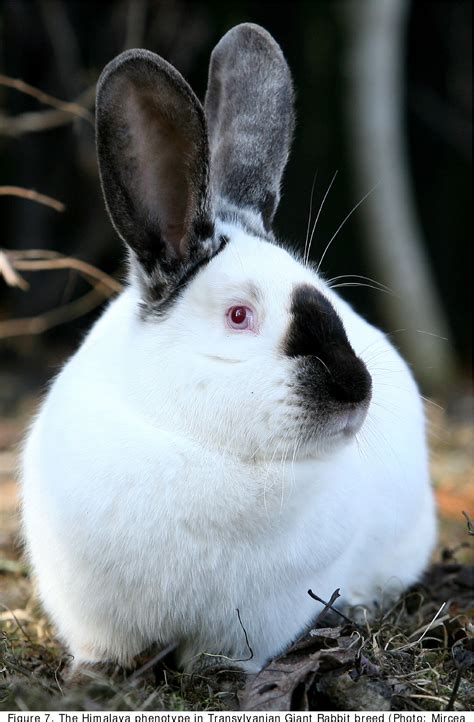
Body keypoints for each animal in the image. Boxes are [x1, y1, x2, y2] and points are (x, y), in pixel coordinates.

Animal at [20, 23, 436, 673]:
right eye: (239, 316)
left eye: (326, 299)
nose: (355, 389)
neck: (202, 448)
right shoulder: (95, 617)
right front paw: (93, 677)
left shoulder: (258, 625)